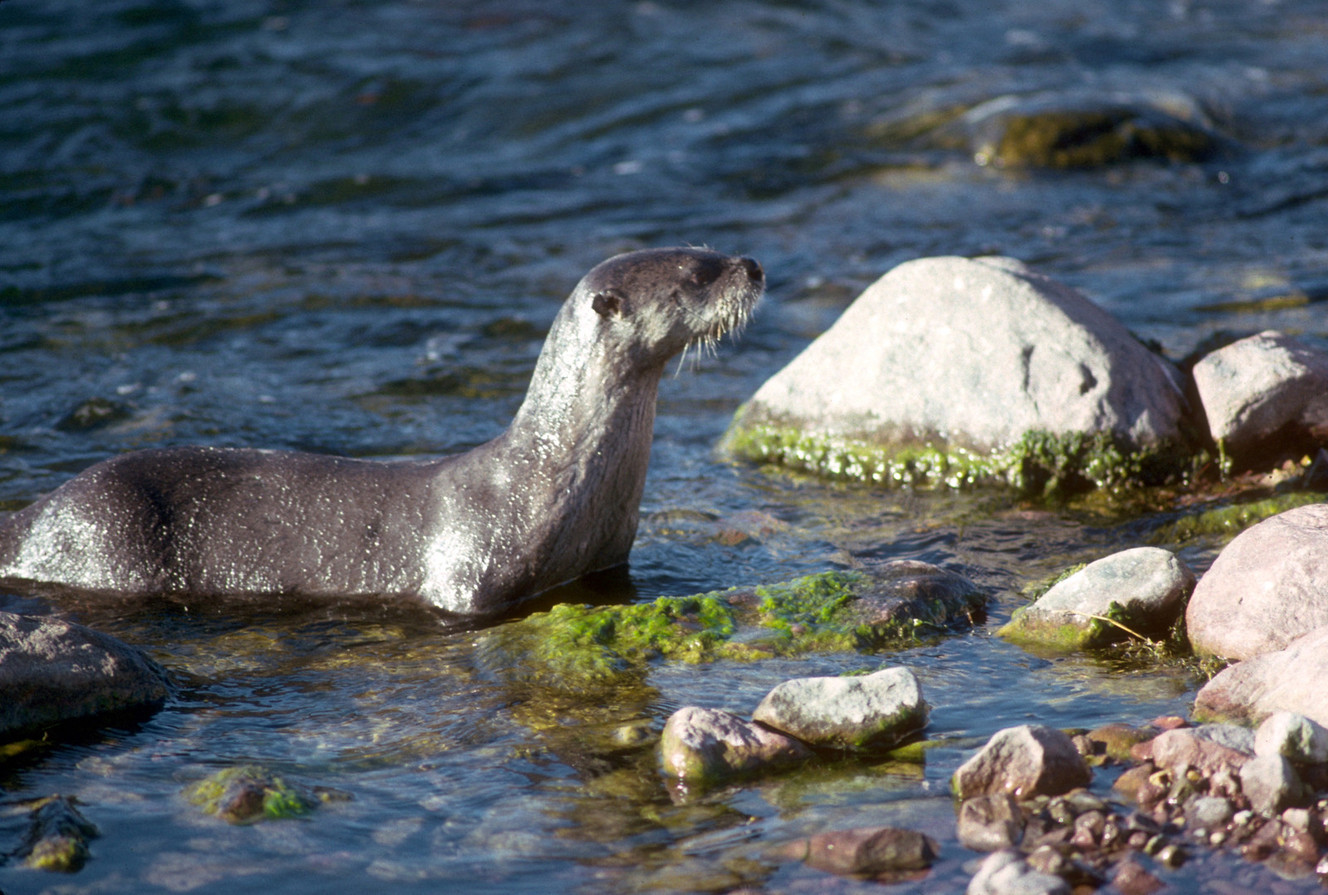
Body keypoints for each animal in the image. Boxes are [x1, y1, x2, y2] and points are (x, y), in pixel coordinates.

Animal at [0, 248, 764, 615]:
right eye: (697, 272)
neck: (549, 477)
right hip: (106, 538)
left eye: (706, 245)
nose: (752, 266)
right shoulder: (465, 579)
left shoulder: (608, 562)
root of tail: (34, 516)